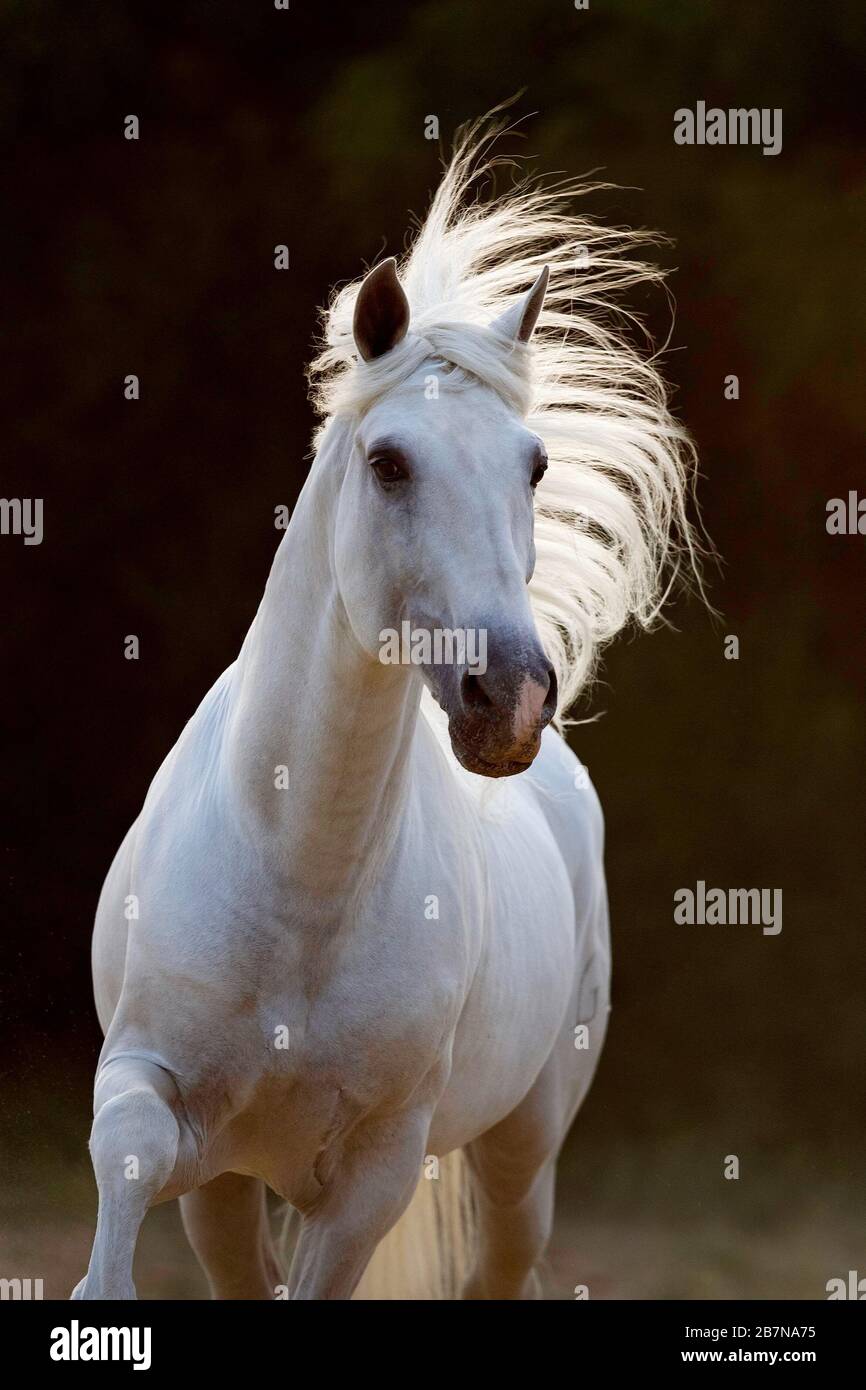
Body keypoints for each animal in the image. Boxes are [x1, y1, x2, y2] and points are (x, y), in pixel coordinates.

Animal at [72, 121, 699, 1300]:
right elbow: (127, 1174)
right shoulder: (169, 1112)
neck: (297, 884)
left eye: (533, 464)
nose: (511, 697)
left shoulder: (372, 1174)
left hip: (519, 1155)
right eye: (389, 462)